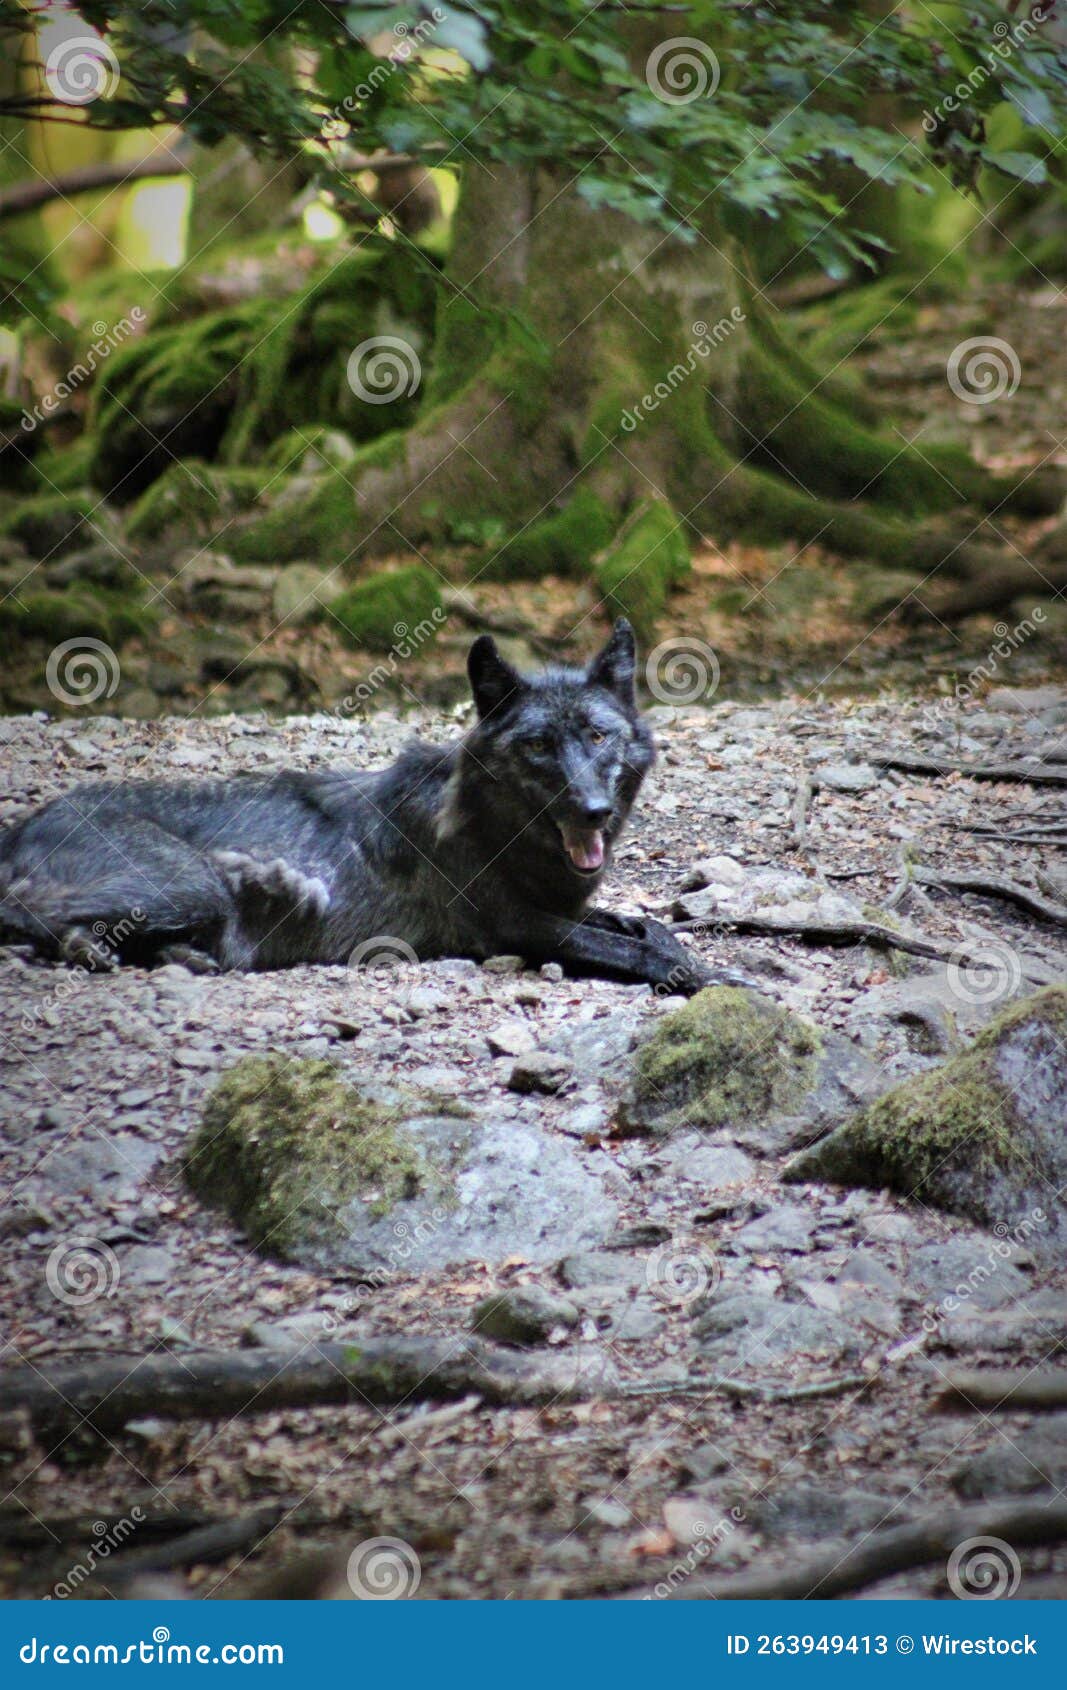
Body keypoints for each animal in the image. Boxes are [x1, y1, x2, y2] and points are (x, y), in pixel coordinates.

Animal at [0, 619, 746, 994]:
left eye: (596, 735)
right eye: (538, 745)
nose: (592, 810)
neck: (495, 828)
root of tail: (22, 825)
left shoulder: (564, 904)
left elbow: (648, 928)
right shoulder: (513, 927)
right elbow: (632, 948)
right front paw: (715, 977)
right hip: (192, 885)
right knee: (30, 915)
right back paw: (93, 950)